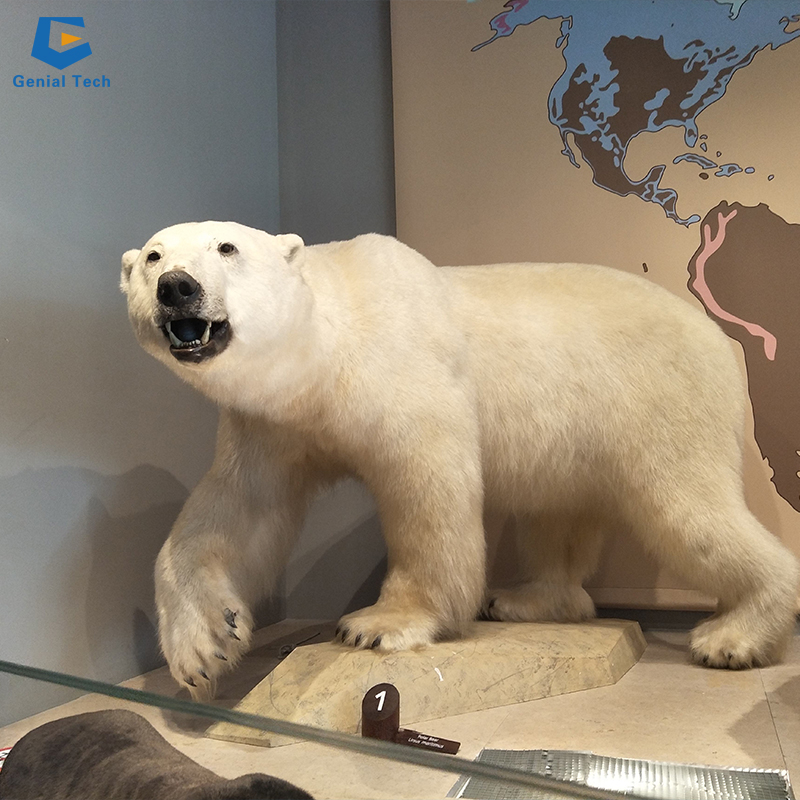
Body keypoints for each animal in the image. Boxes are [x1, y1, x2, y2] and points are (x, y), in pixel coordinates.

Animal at [121, 221, 799, 700]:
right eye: (153, 255)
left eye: (227, 246)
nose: (177, 286)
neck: (327, 348)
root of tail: (721, 342)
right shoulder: (273, 423)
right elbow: (241, 508)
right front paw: (204, 645)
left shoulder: (400, 367)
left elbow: (429, 484)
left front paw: (380, 622)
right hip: (578, 446)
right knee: (558, 518)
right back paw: (527, 600)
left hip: (662, 402)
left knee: (687, 512)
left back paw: (734, 635)